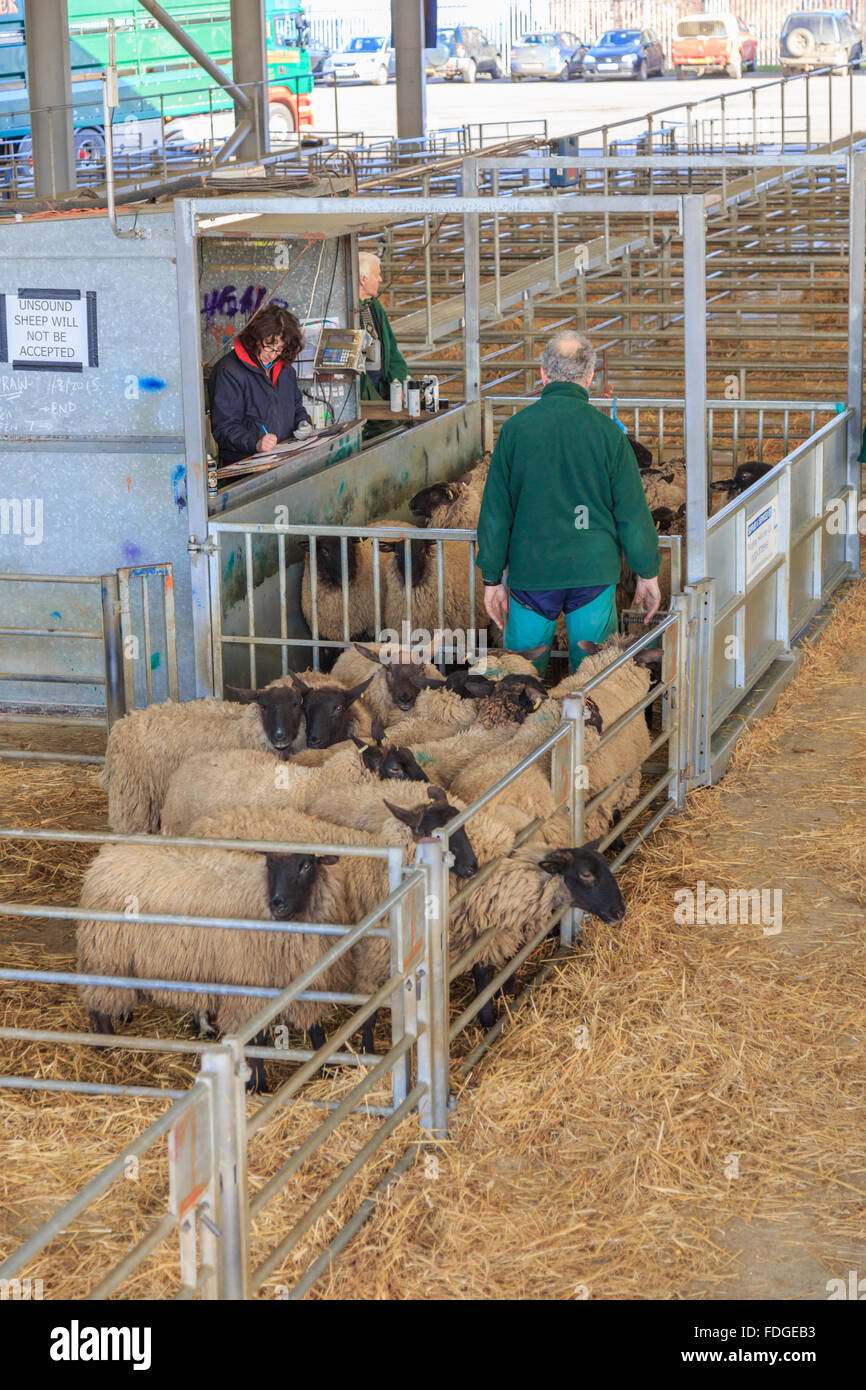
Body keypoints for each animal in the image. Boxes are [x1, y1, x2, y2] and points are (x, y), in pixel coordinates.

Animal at [76, 839, 348, 1091]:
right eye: (270, 863)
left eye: (306, 865)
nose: (277, 903)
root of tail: (105, 857)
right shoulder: (246, 986)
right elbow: (255, 1040)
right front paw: (258, 1085)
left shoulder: (306, 976)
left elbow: (316, 1028)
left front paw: (330, 1067)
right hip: (107, 956)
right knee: (98, 1001)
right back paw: (106, 1044)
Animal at [102, 685, 305, 834]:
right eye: (264, 706)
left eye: (296, 704)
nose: (280, 736)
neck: (242, 727)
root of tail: (120, 726)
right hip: (133, 796)